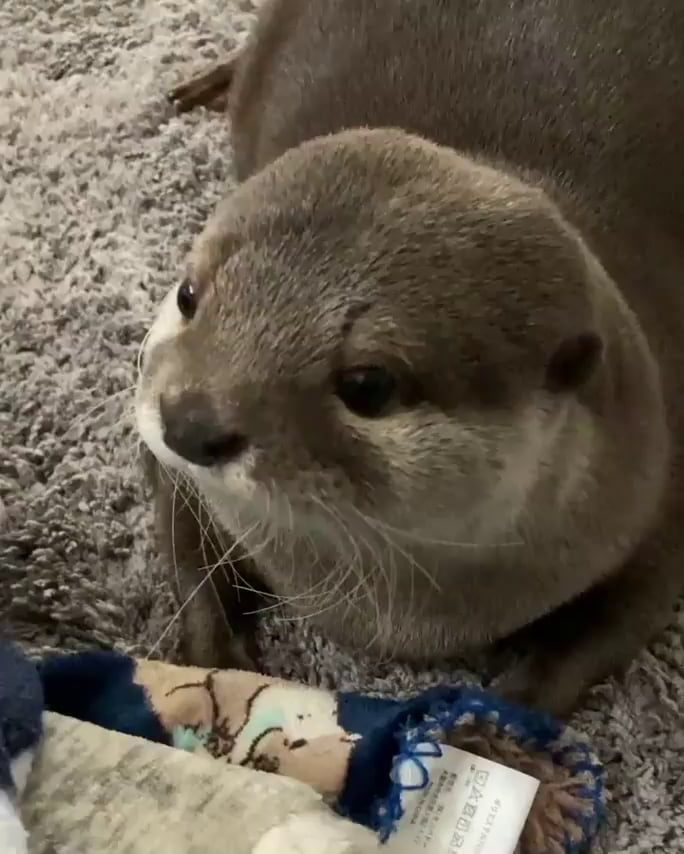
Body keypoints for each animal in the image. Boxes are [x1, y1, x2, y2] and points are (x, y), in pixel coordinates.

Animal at [136, 0, 684, 716]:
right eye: (189, 294)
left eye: (368, 384)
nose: (190, 422)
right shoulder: (177, 471)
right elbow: (184, 551)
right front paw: (216, 674)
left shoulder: (657, 489)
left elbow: (596, 640)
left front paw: (486, 724)